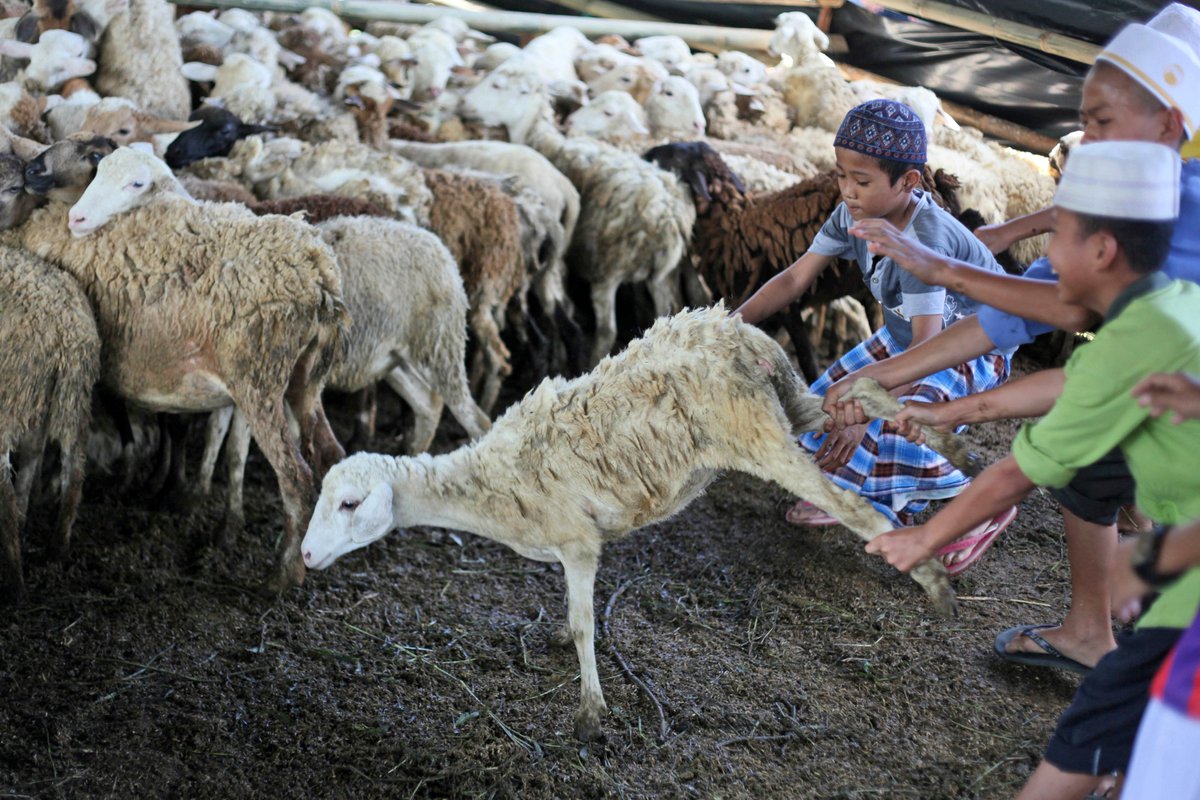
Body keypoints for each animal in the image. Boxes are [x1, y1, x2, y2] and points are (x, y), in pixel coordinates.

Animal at [19, 147, 347, 592]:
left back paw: (282, 576)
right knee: (331, 454)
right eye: (97, 170)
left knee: (296, 478)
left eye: (136, 183)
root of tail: (318, 275)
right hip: (303, 381)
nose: (77, 220)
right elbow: (222, 451)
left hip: (259, 381)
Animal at [300, 305, 957, 742]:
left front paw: (591, 711)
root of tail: (739, 335)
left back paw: (933, 576)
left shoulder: (578, 543)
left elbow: (585, 624)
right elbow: (571, 616)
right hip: (787, 405)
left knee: (855, 507)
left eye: (349, 505)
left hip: (758, 435)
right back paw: (935, 431)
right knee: (858, 389)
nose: (305, 557)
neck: (491, 483)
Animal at [462, 67, 695, 366]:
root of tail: (668, 214)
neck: (542, 139)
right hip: (664, 275)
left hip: (609, 271)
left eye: (497, 85)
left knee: (607, 330)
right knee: (667, 309)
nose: (465, 104)